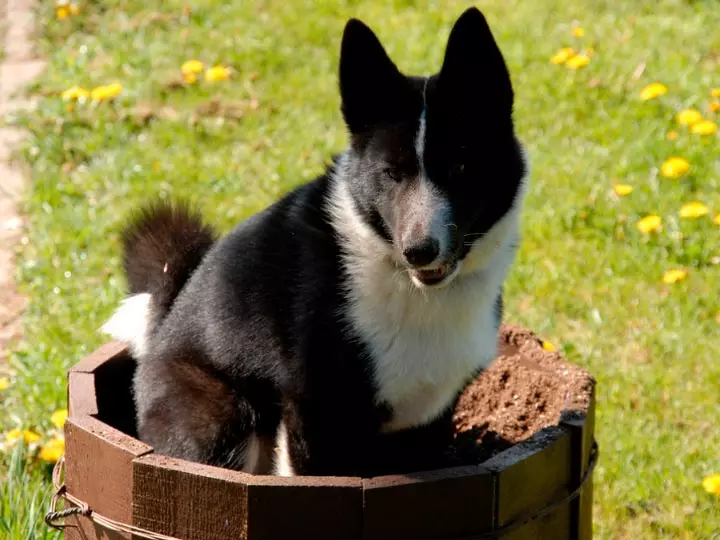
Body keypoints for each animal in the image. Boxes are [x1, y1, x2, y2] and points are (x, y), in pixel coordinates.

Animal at [102, 7, 528, 476]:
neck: (403, 282)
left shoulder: (427, 422)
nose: (419, 251)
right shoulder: (315, 416)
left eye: (459, 167)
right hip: (224, 417)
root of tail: (159, 334)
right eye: (390, 173)